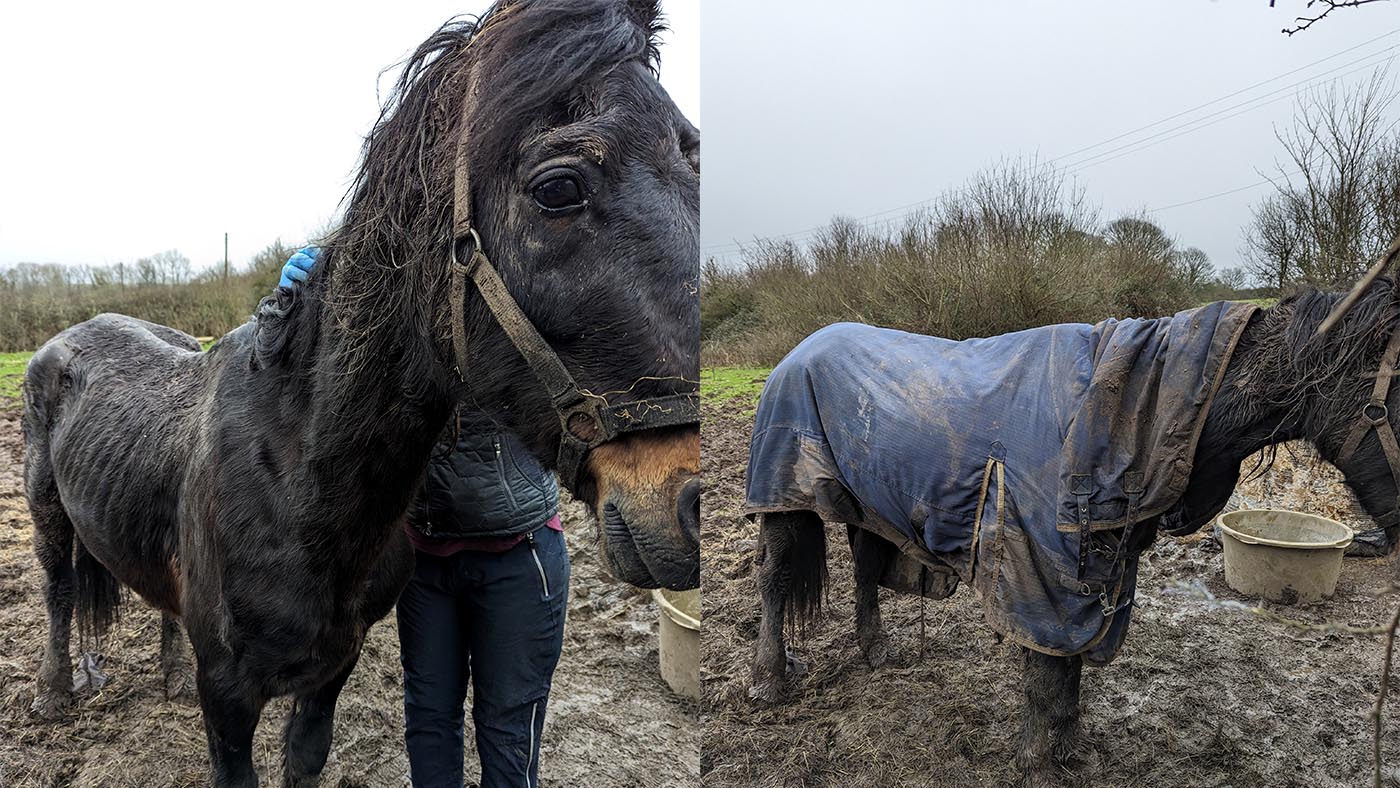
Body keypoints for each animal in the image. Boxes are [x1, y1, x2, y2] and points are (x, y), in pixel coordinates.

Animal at [20, 1, 699, 785]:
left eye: (696, 159)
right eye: (558, 188)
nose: (689, 502)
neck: (294, 471)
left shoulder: (330, 670)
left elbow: (306, 760)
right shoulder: (227, 696)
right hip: (47, 513)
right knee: (58, 591)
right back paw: (52, 695)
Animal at [745, 279, 1400, 787]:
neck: (1130, 411)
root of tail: (800, 350)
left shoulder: (1102, 573)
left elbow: (1072, 669)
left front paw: (1068, 752)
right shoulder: (1039, 571)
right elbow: (1047, 672)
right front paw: (1038, 765)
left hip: (869, 502)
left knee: (863, 569)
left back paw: (877, 652)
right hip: (783, 498)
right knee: (775, 581)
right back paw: (769, 682)